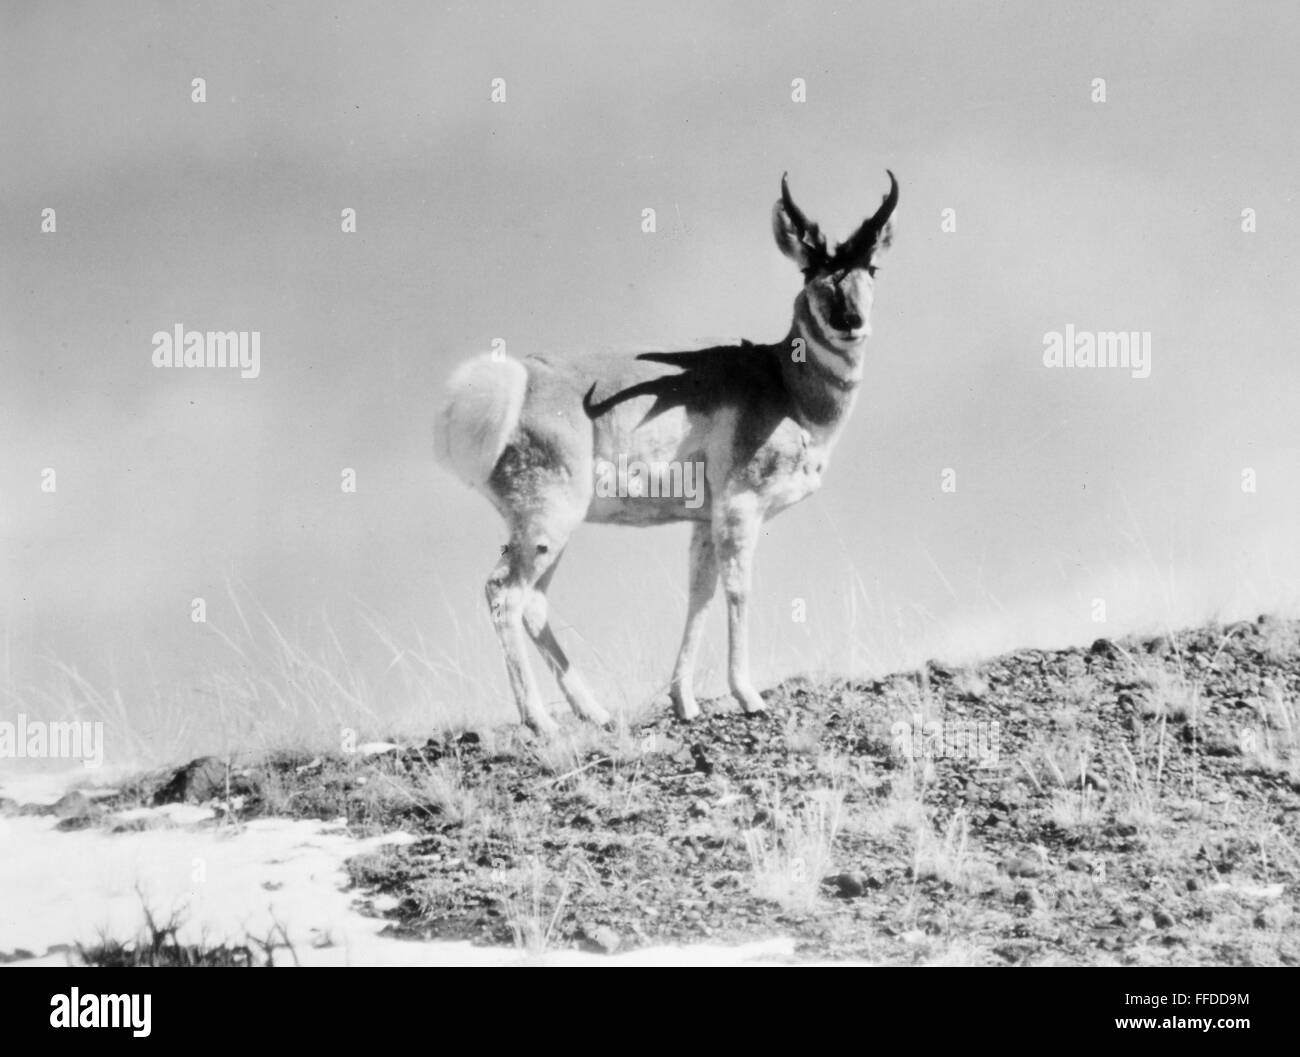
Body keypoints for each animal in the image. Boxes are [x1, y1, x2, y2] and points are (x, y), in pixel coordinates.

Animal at [434, 171, 898, 735]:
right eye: (810, 269)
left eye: (870, 265)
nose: (849, 321)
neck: (779, 380)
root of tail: (518, 380)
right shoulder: (740, 509)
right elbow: (738, 589)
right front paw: (748, 695)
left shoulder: (704, 523)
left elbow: (699, 596)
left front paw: (684, 700)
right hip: (548, 524)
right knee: (504, 593)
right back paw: (541, 722)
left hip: (549, 531)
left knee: (534, 604)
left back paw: (595, 712)